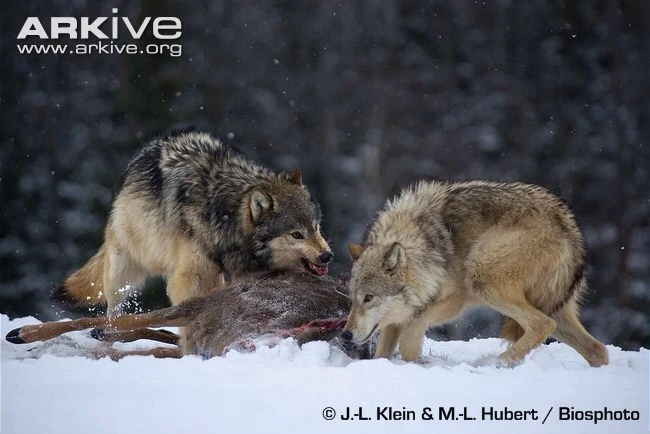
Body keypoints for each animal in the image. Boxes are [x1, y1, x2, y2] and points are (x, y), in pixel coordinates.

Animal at [53, 130, 333, 316]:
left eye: (316, 228)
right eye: (296, 234)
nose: (327, 255)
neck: (226, 215)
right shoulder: (190, 278)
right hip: (123, 270)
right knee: (113, 309)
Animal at [340, 180, 609, 367]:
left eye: (369, 298)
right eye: (353, 299)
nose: (345, 335)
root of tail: (568, 225)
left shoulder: (452, 302)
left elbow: (409, 340)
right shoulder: (395, 319)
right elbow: (382, 353)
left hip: (483, 277)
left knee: (542, 324)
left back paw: (496, 363)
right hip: (555, 307)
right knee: (598, 350)